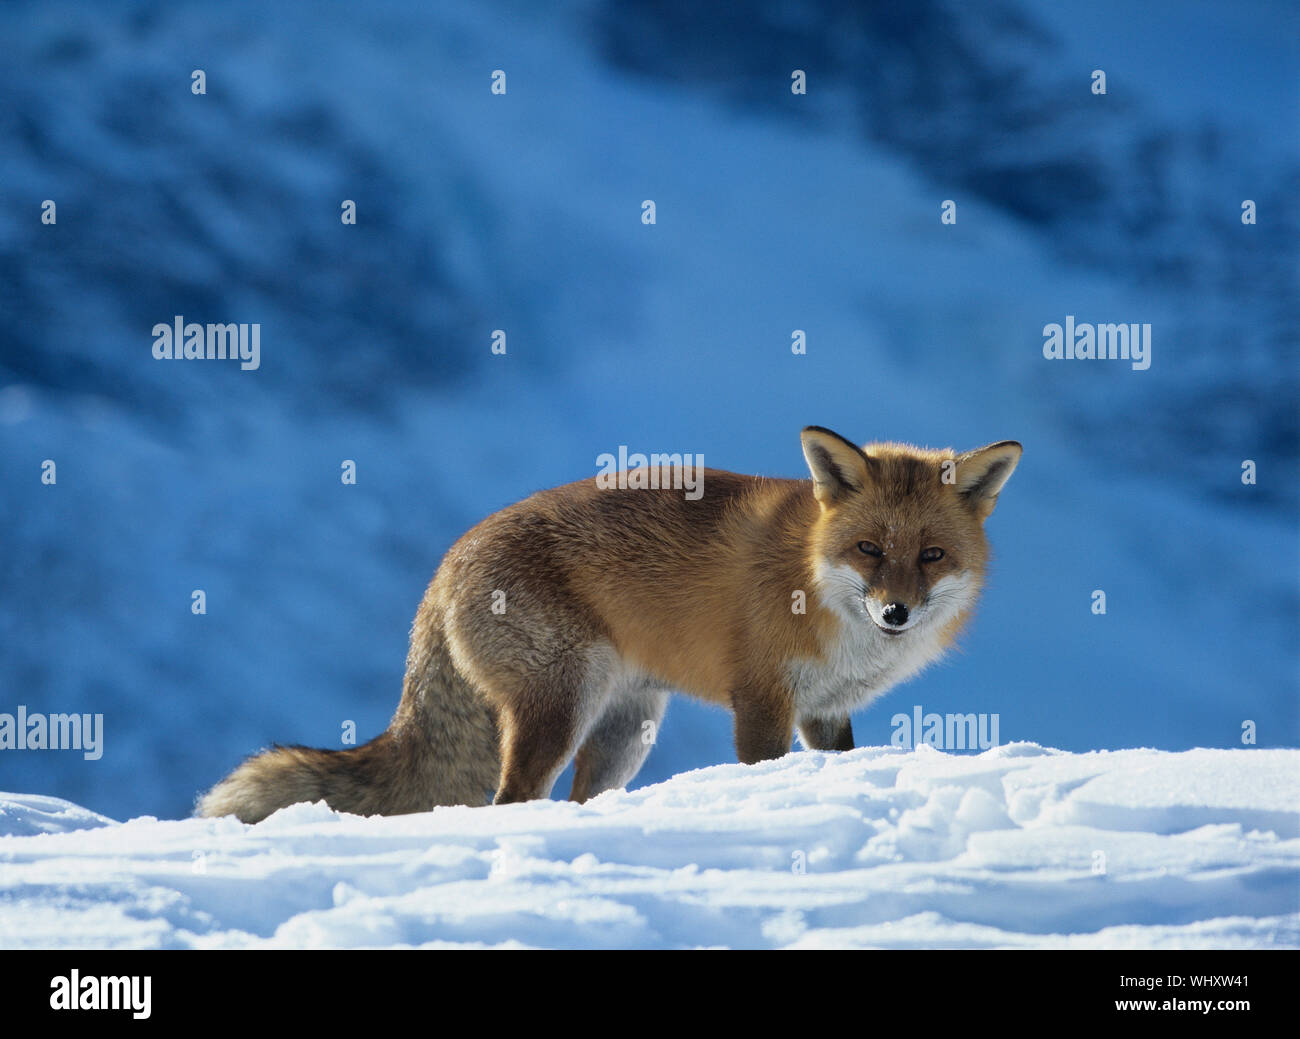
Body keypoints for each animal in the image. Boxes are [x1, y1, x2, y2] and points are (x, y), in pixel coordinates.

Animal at [198, 426, 1021, 823]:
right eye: (869, 550)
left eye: (932, 556)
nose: (895, 612)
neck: (814, 586)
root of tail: (447, 560)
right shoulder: (762, 700)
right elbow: (760, 765)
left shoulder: (825, 712)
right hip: (561, 705)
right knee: (510, 800)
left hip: (628, 730)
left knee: (575, 801)